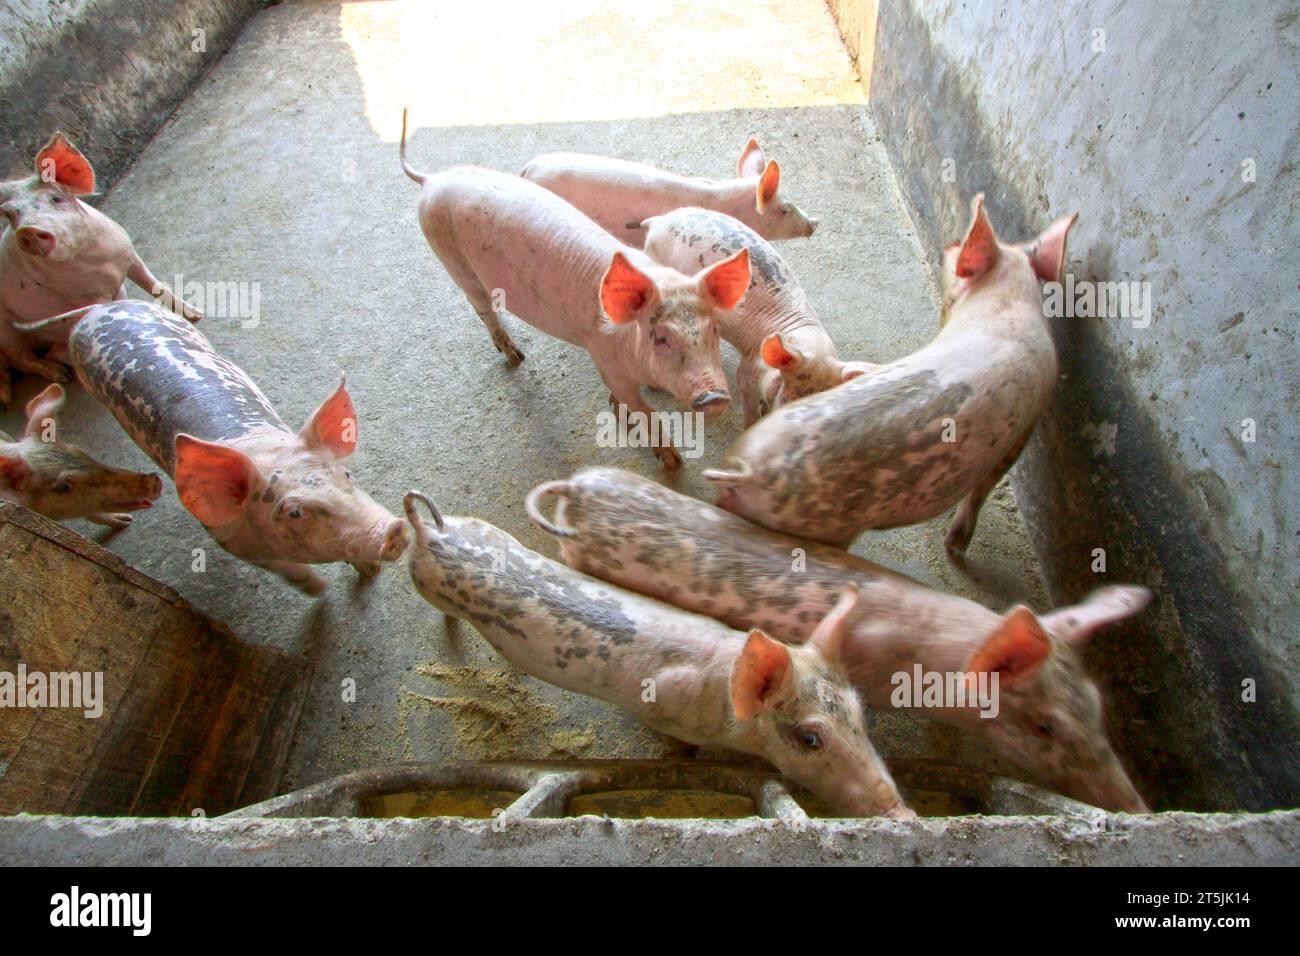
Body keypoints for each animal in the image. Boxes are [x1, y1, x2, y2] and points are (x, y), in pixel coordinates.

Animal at [0, 133, 201, 408]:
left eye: (56, 198)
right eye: (10, 215)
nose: (27, 231)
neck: (99, 261)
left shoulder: (128, 253)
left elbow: (153, 284)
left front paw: (195, 314)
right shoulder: (87, 295)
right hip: (5, 332)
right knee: (21, 359)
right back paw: (45, 383)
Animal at [38, 299, 408, 594]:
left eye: (347, 475)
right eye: (293, 512)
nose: (394, 529)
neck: (261, 448)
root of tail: (100, 308)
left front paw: (369, 571)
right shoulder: (225, 537)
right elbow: (285, 569)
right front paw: (318, 591)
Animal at [400, 112, 749, 469]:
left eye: (715, 330)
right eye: (661, 337)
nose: (715, 396)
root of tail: (432, 179)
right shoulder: (605, 359)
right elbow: (642, 409)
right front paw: (672, 460)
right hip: (450, 258)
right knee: (481, 306)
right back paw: (516, 356)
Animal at [403, 488, 913, 819]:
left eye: (859, 713)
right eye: (810, 738)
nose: (902, 812)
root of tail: (429, 530)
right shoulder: (659, 708)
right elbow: (672, 741)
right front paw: (682, 756)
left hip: (486, 531)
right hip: (426, 588)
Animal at [702, 195, 1077, 554]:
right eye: (786, 390)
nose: (950, 246)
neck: (1010, 303)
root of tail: (751, 472)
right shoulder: (1025, 426)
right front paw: (954, 547)